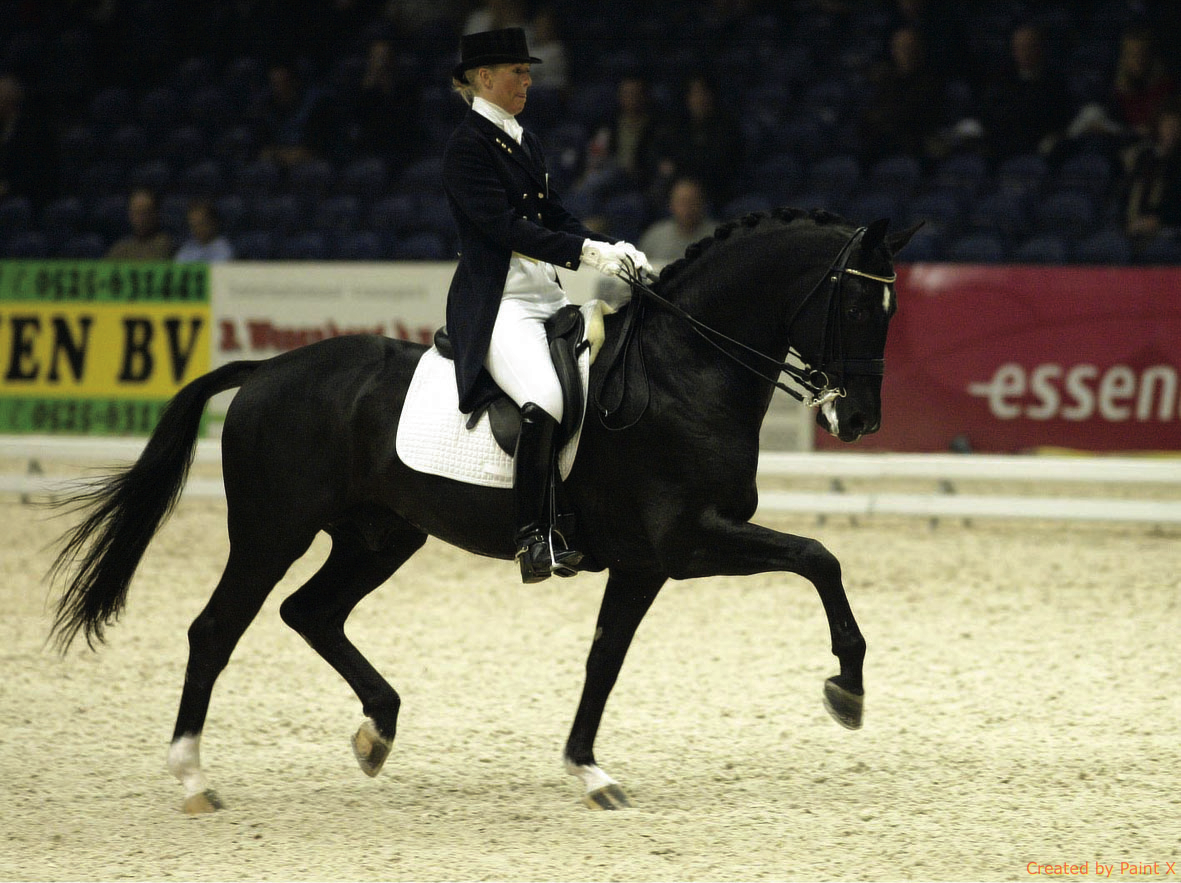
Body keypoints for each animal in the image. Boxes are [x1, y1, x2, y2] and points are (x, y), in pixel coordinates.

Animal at [48, 207, 918, 814]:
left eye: (891, 312)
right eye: (857, 306)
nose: (859, 419)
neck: (684, 369)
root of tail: (266, 368)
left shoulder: (644, 563)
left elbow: (604, 659)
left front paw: (589, 770)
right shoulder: (687, 541)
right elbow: (817, 556)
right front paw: (847, 686)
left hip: (380, 535)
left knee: (311, 611)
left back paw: (377, 729)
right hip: (272, 530)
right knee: (216, 630)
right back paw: (195, 779)